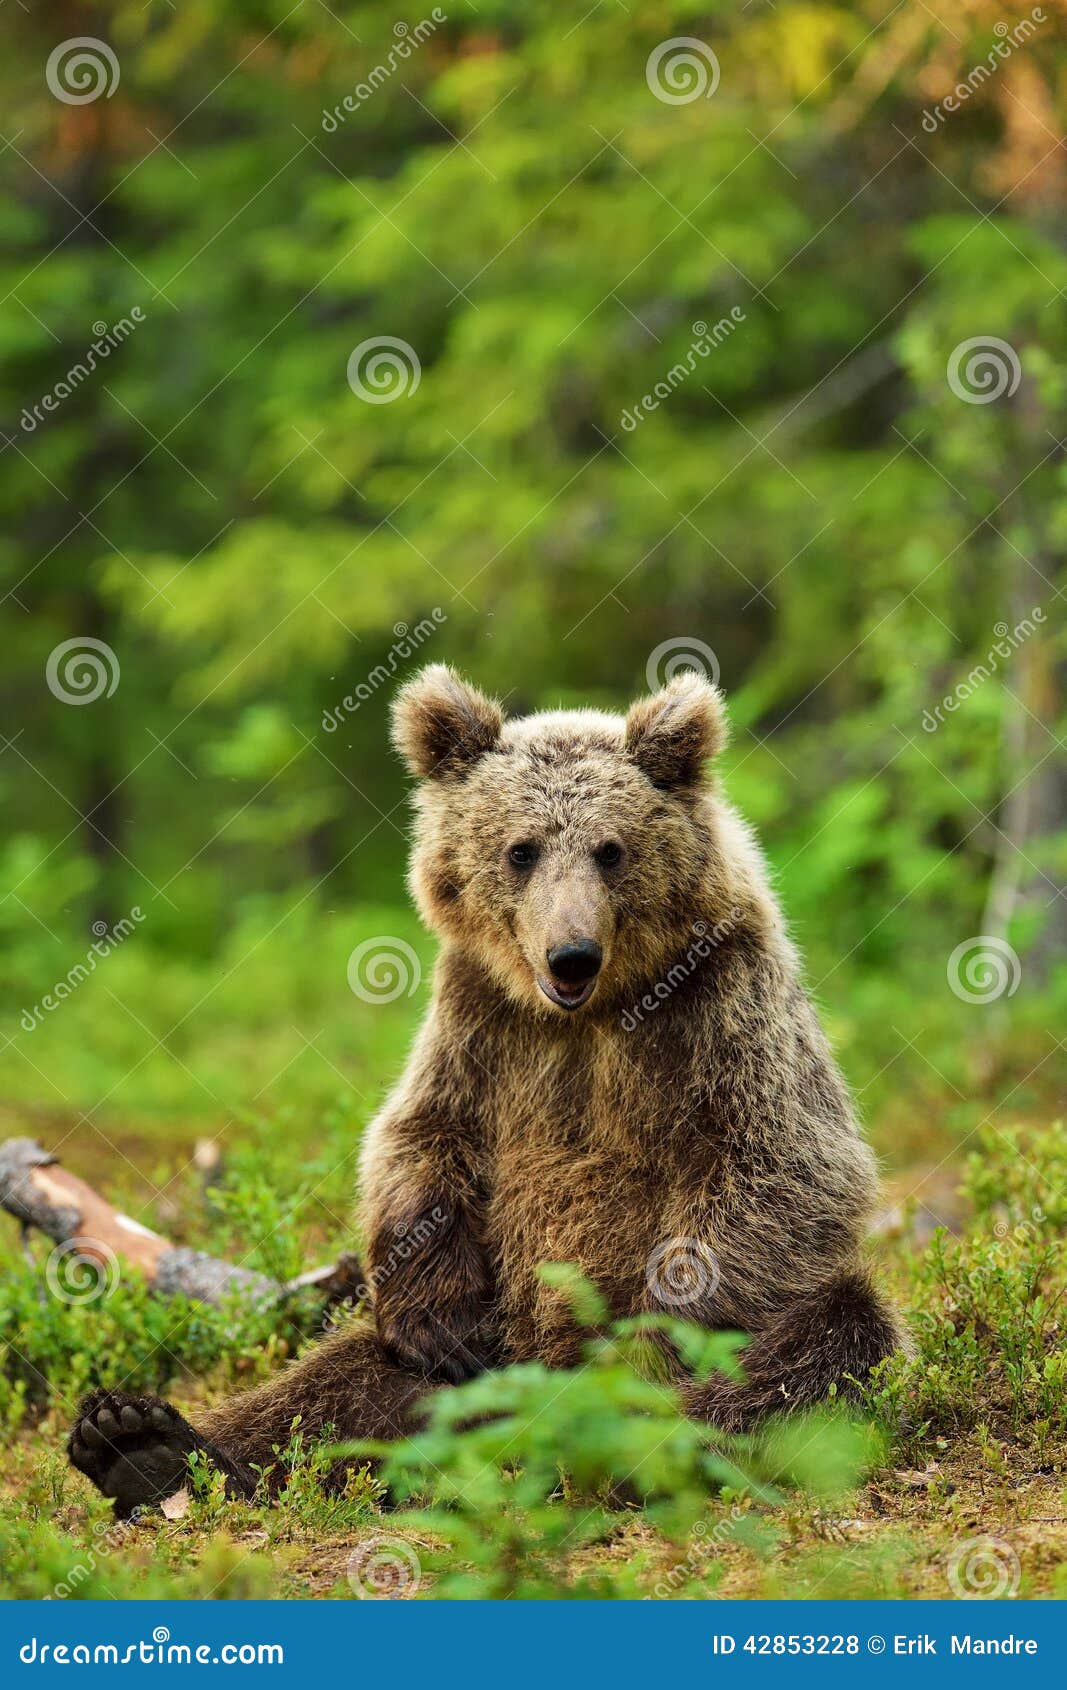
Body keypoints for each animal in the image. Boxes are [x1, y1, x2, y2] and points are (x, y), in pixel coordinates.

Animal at [68, 665, 907, 1517]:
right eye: (520, 850)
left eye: (610, 850)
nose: (571, 953)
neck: (591, 1012)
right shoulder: (481, 1021)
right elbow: (422, 1134)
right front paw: (437, 1316)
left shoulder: (721, 1008)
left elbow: (777, 1165)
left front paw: (651, 1347)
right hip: (474, 1352)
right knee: (336, 1384)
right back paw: (146, 1443)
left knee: (827, 1334)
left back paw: (646, 1440)